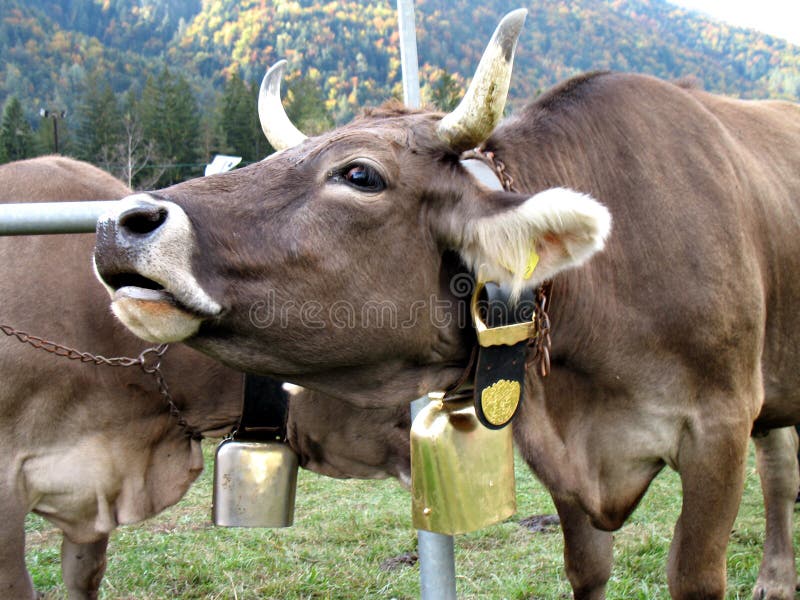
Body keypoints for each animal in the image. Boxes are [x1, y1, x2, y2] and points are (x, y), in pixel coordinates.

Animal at [91, 8, 800, 599]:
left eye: (359, 174)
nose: (119, 224)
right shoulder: (559, 457)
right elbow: (587, 568)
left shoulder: (719, 427)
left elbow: (695, 574)